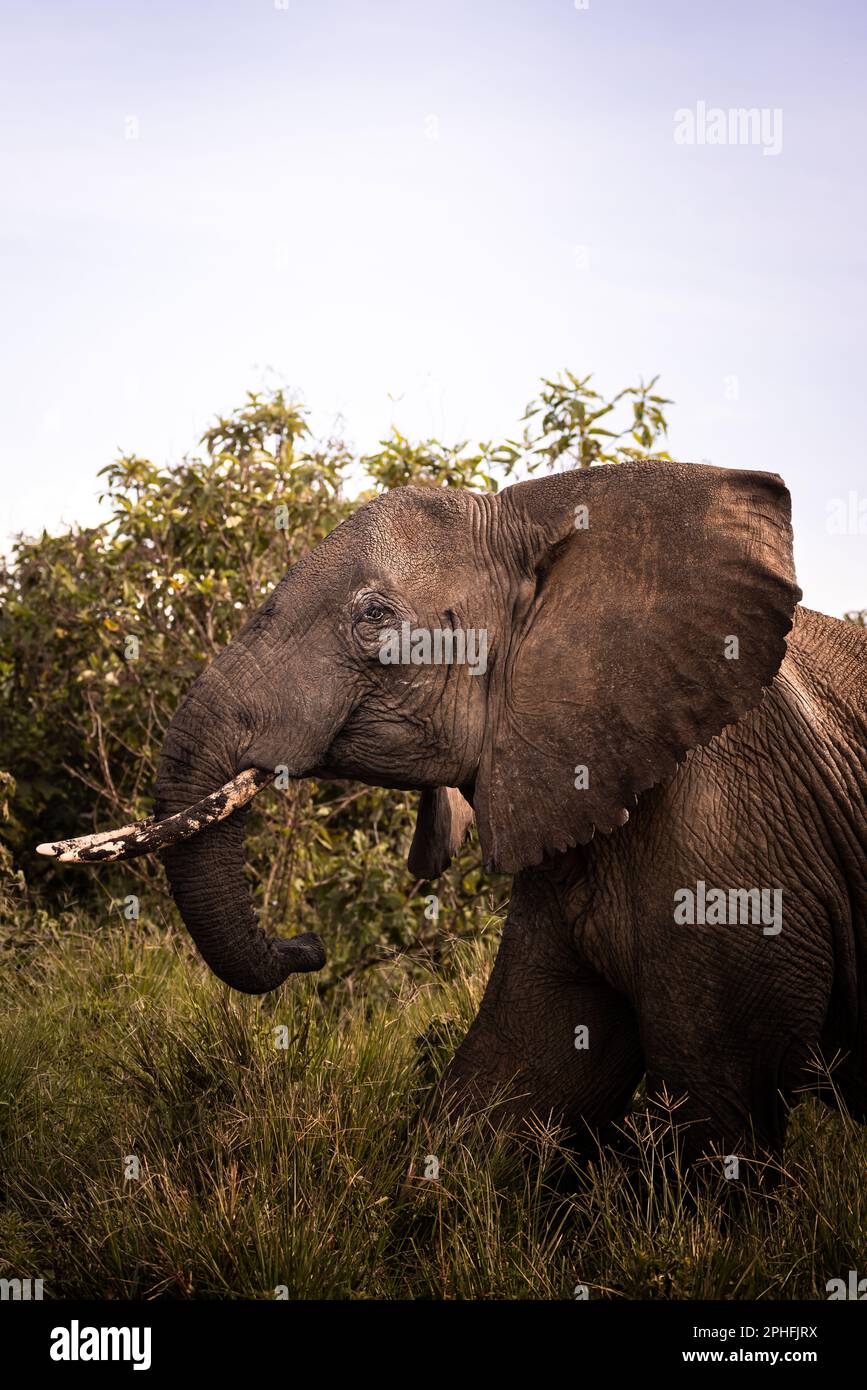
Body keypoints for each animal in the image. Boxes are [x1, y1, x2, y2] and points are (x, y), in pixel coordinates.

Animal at [39, 460, 867, 1166]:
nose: (306, 944)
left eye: (374, 616)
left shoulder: (740, 848)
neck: (540, 518)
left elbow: (719, 1110)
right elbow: (511, 1089)